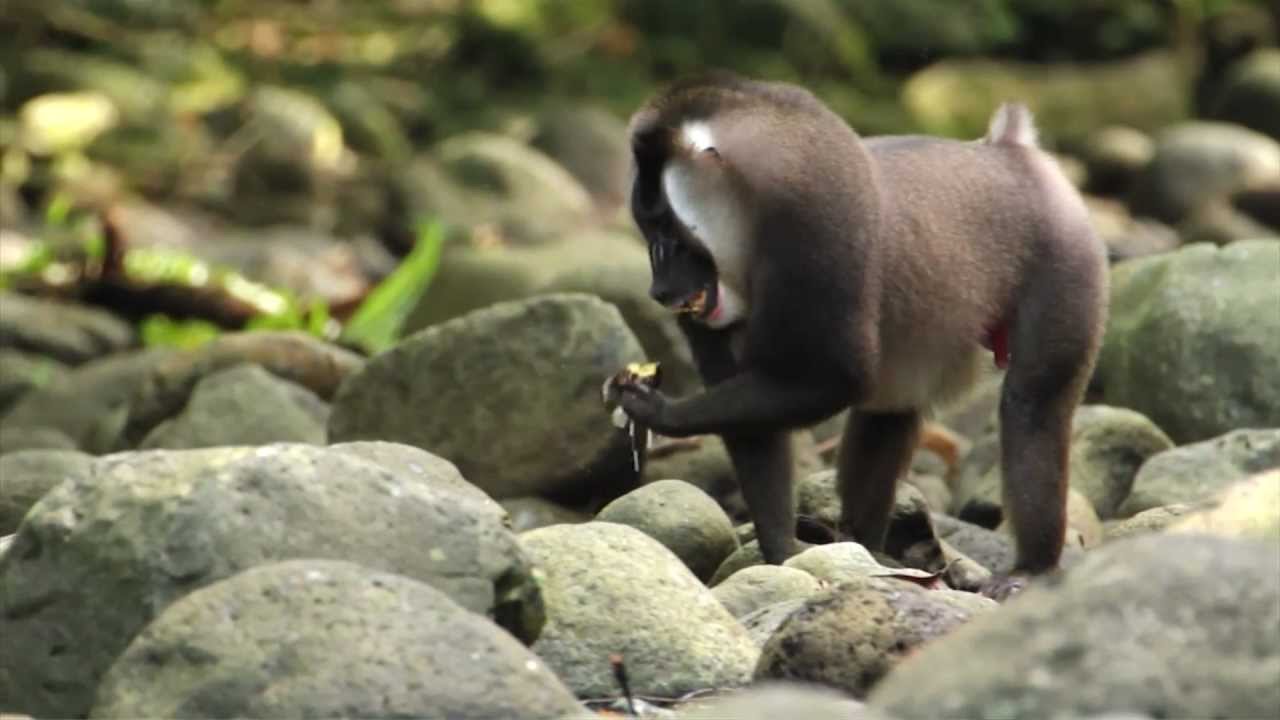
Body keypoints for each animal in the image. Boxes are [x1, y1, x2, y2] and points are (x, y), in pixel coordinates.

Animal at [612, 72, 1108, 599]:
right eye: (648, 227)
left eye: (667, 225)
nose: (661, 289)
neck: (753, 210)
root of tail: (1012, 152)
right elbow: (756, 433)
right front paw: (783, 551)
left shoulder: (822, 236)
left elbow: (838, 381)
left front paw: (658, 410)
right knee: (887, 415)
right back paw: (862, 541)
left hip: (1064, 266)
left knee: (1034, 407)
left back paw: (1030, 567)